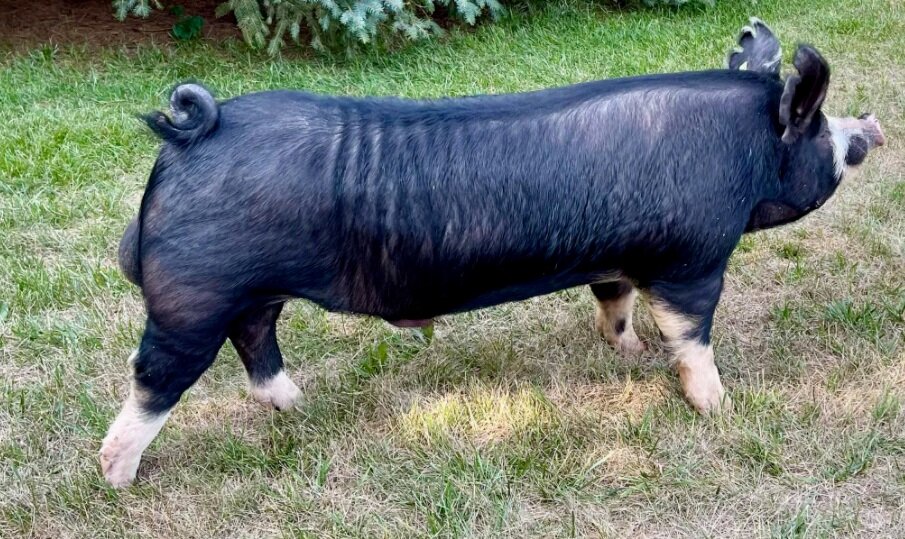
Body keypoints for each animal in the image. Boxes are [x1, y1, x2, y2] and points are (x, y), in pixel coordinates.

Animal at [100, 18, 884, 486]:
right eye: (820, 131)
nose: (870, 128)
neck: (745, 151)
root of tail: (195, 133)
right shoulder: (693, 257)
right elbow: (692, 335)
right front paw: (720, 407)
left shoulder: (619, 258)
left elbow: (615, 301)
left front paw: (628, 353)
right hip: (193, 295)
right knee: (155, 375)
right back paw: (117, 476)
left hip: (247, 292)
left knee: (257, 340)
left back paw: (300, 407)